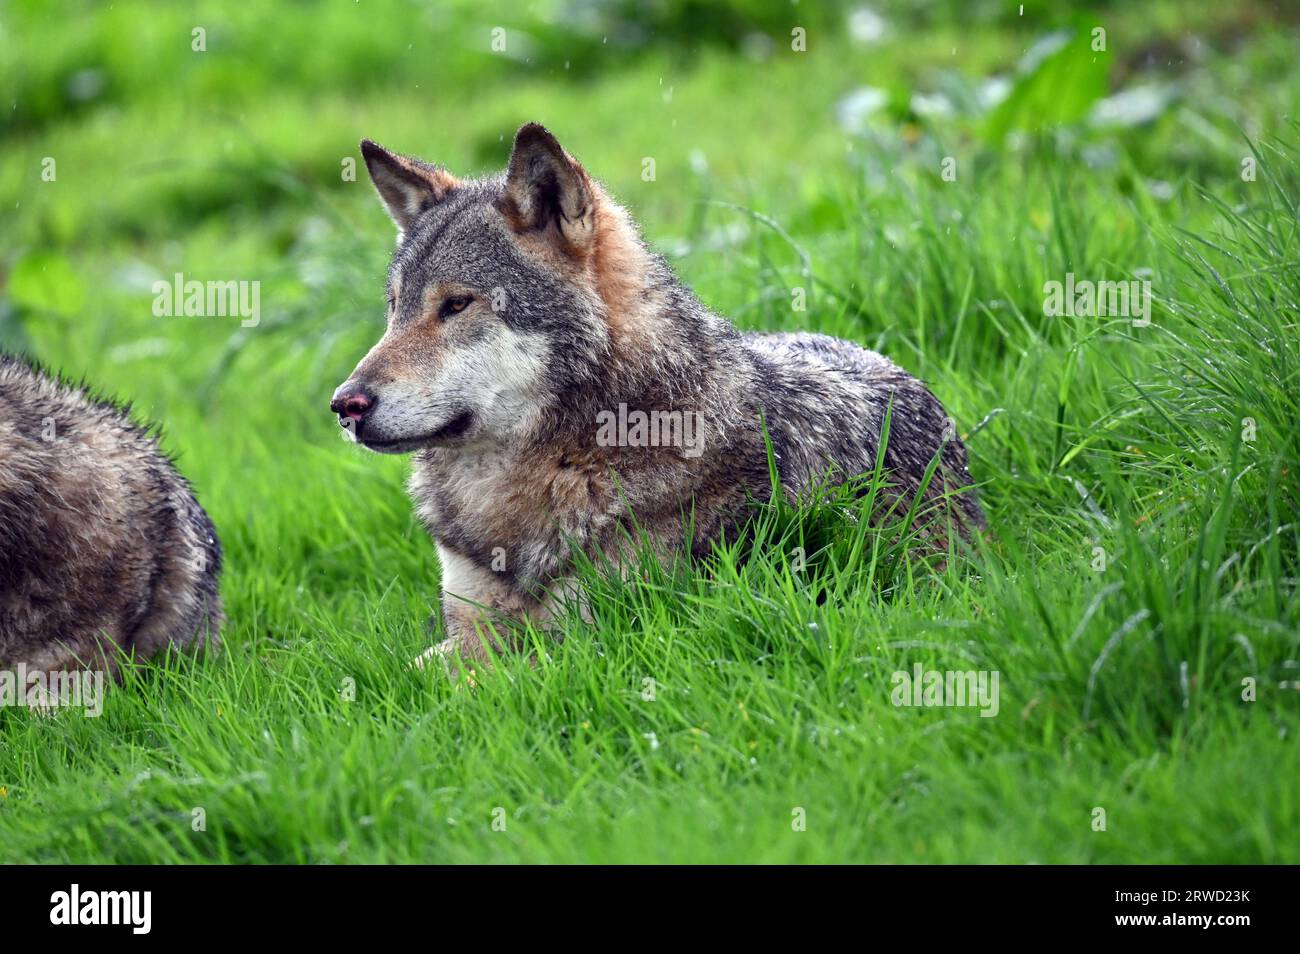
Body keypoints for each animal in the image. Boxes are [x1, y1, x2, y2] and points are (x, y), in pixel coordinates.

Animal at [331, 123, 985, 668]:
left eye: (456, 305)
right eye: (395, 308)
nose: (344, 406)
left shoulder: (594, 633)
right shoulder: (469, 625)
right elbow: (397, 674)